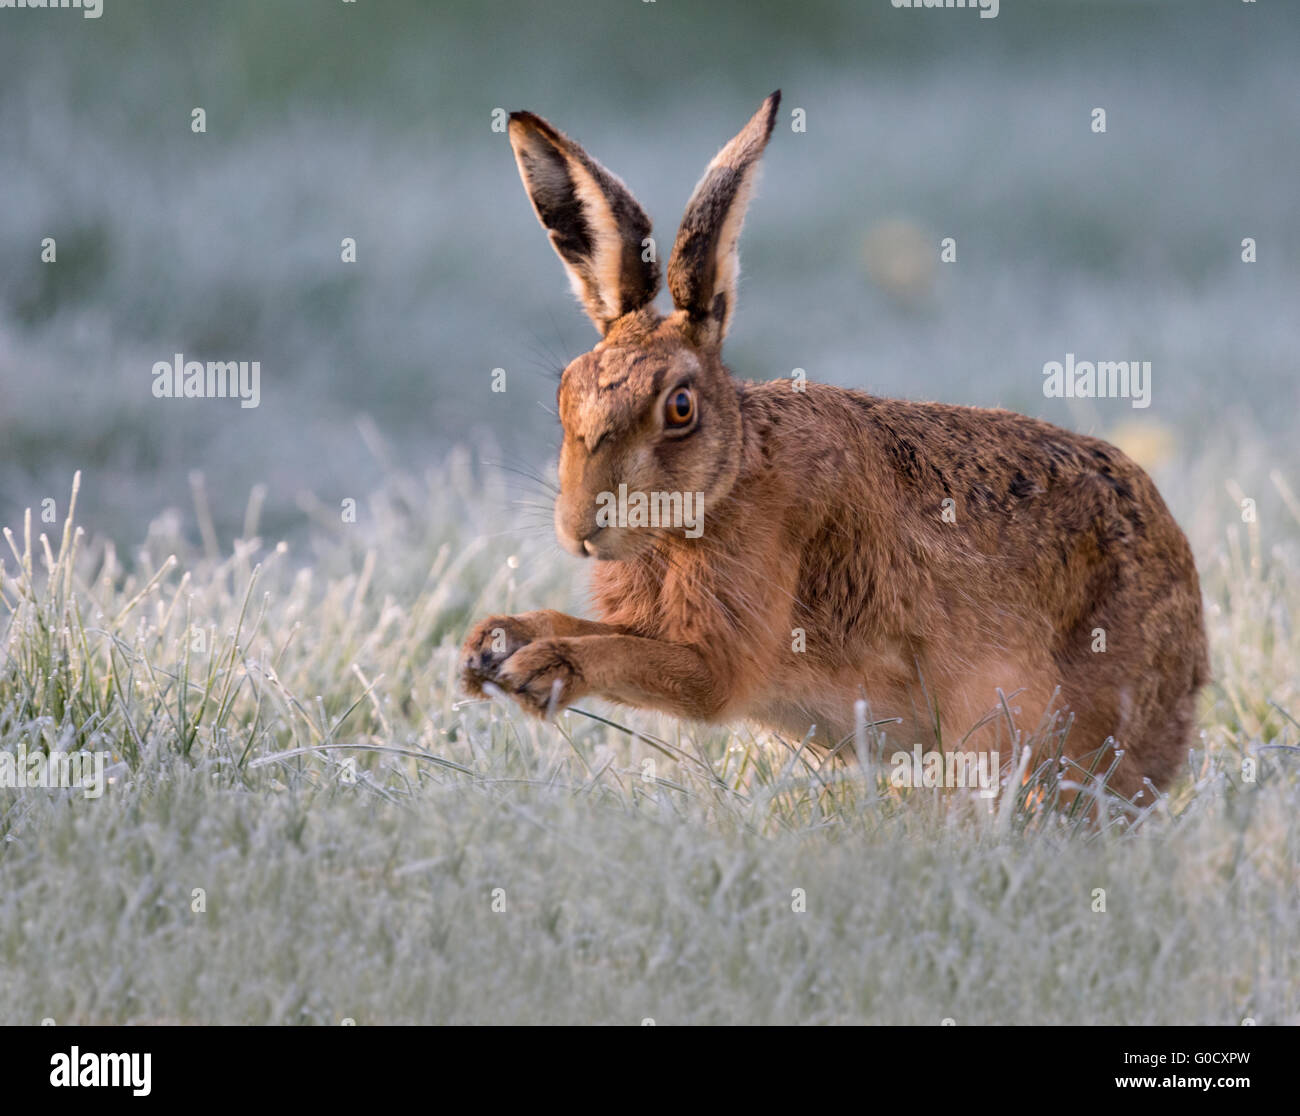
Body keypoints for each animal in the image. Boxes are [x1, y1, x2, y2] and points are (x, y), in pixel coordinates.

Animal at [460, 91, 1209, 801]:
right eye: (566, 390)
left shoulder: (720, 657)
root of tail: (1191, 664)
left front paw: (542, 668)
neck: (723, 485)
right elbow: (582, 624)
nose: (581, 530)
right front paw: (491, 645)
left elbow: (663, 669)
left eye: (679, 408)